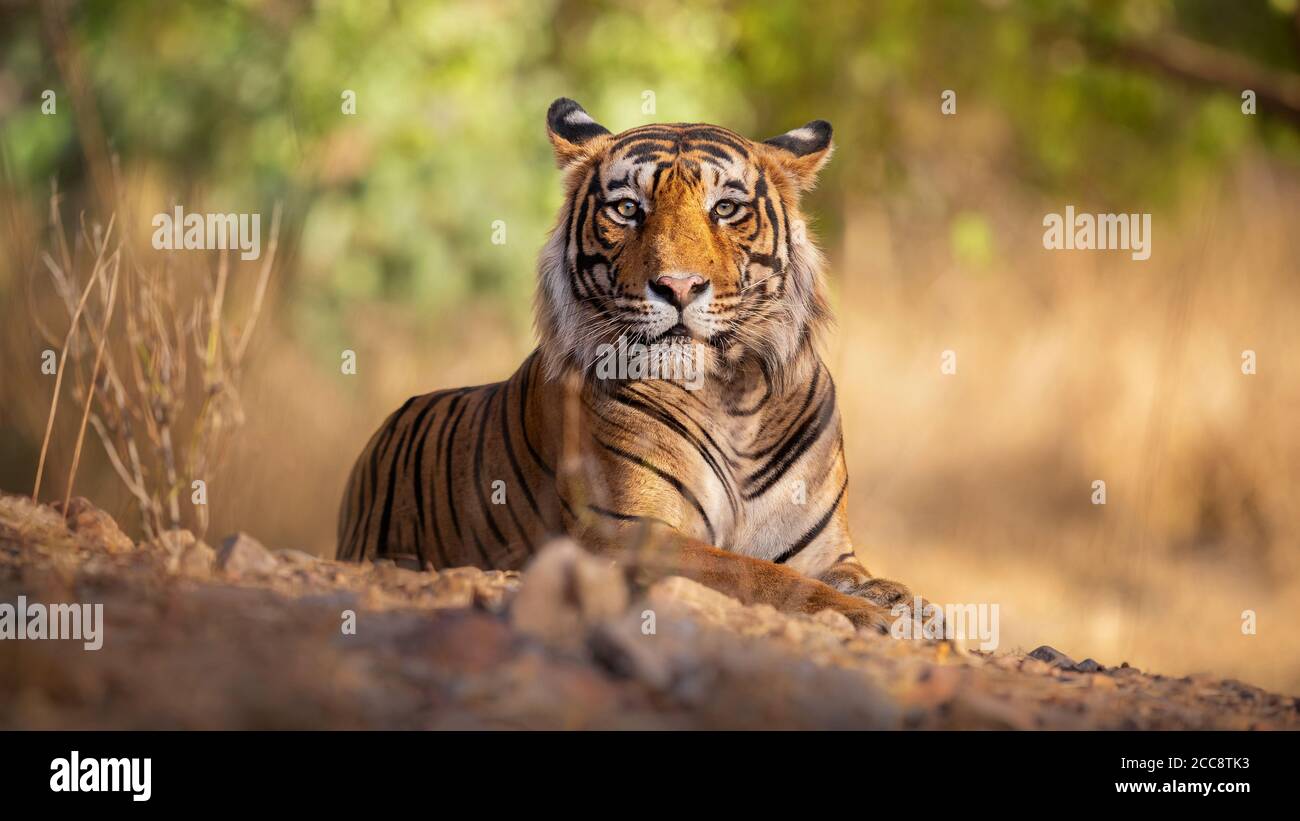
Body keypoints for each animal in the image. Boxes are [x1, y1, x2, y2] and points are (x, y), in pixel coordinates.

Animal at [336, 98, 926, 633]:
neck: (732, 398)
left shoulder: (824, 550)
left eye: (724, 209)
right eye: (627, 209)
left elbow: (870, 582)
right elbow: (755, 574)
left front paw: (904, 606)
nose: (678, 286)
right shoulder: (626, 533)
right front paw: (862, 615)